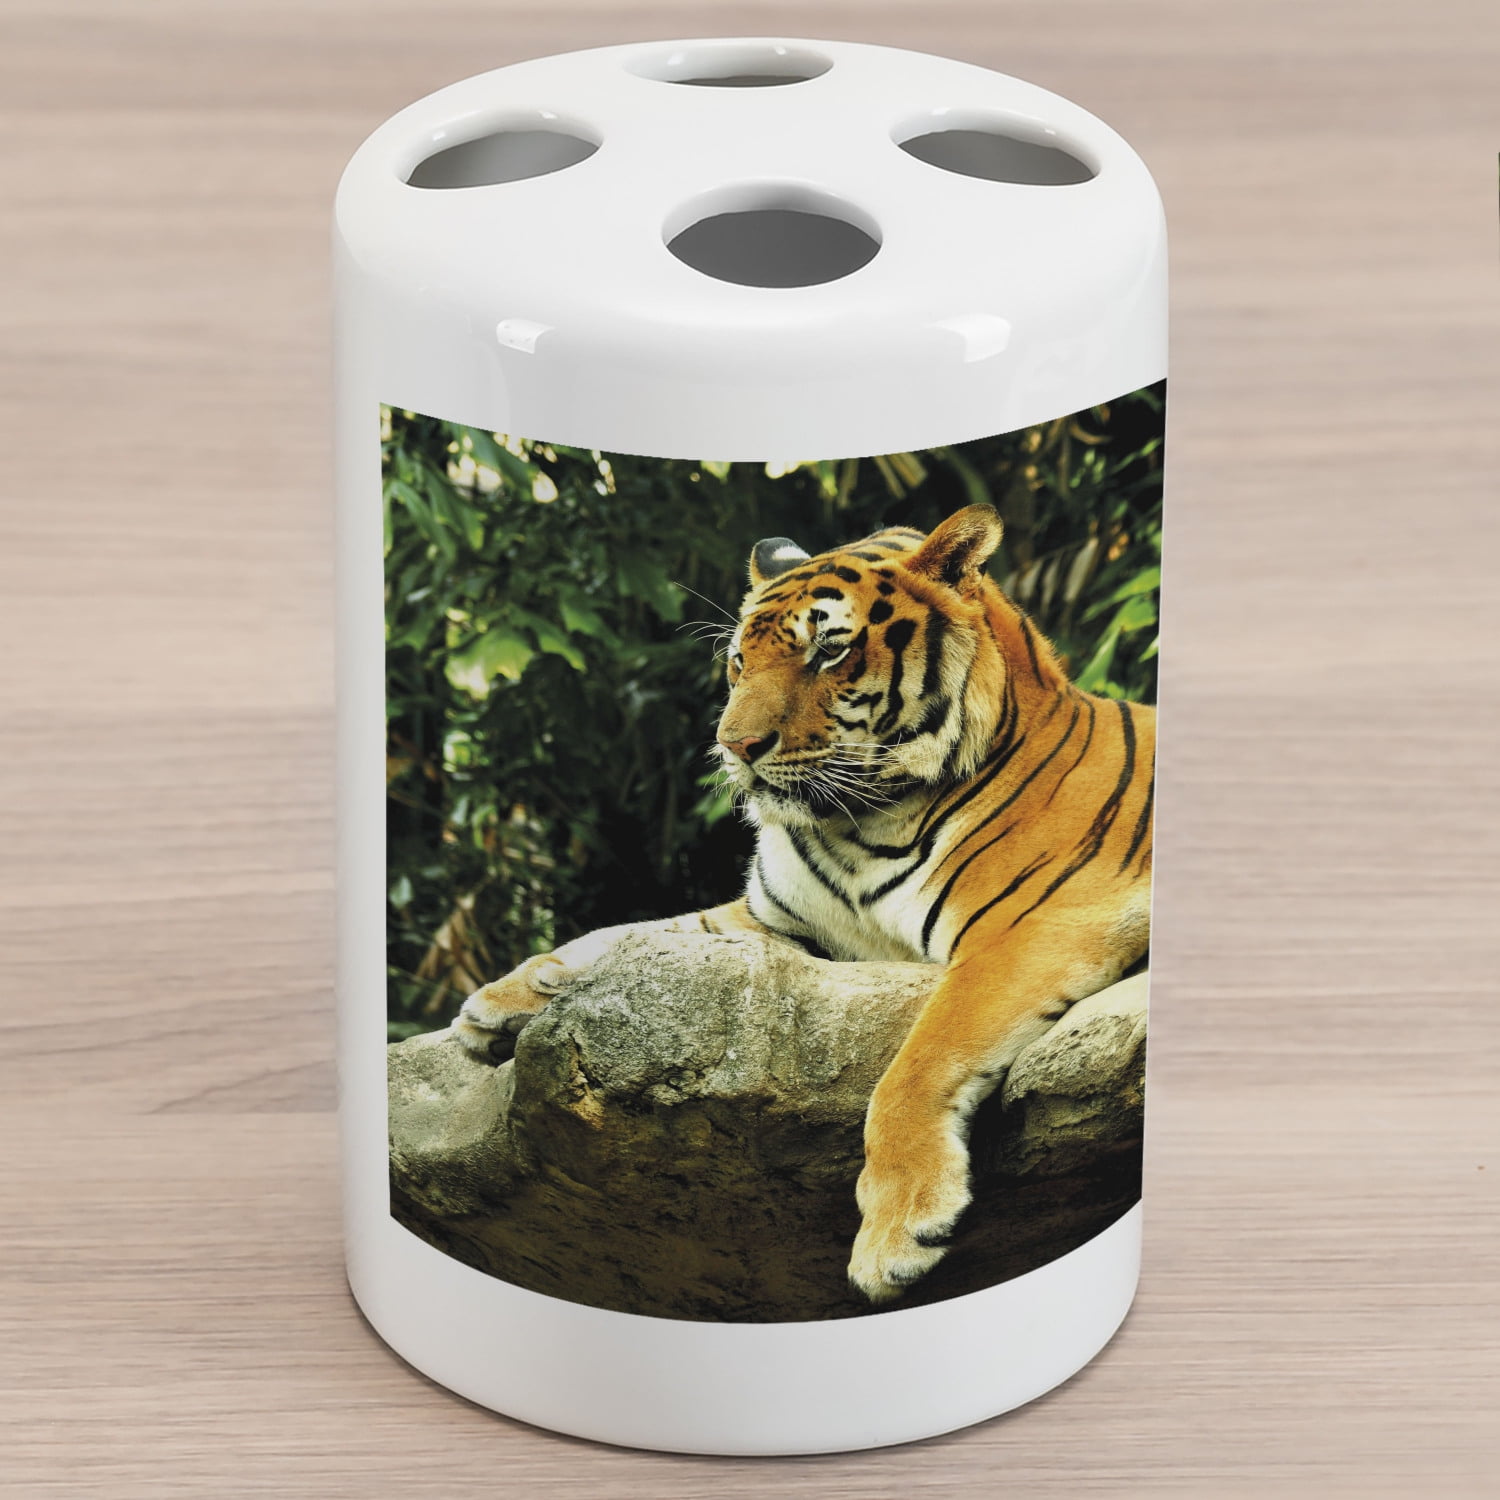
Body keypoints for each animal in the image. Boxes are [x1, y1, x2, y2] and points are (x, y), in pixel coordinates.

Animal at [454, 503, 1155, 1304]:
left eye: (829, 651)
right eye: (738, 661)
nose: (734, 745)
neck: (861, 825)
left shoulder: (1034, 924)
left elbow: (919, 1061)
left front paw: (897, 1233)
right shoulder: (769, 919)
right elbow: (630, 932)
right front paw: (505, 997)